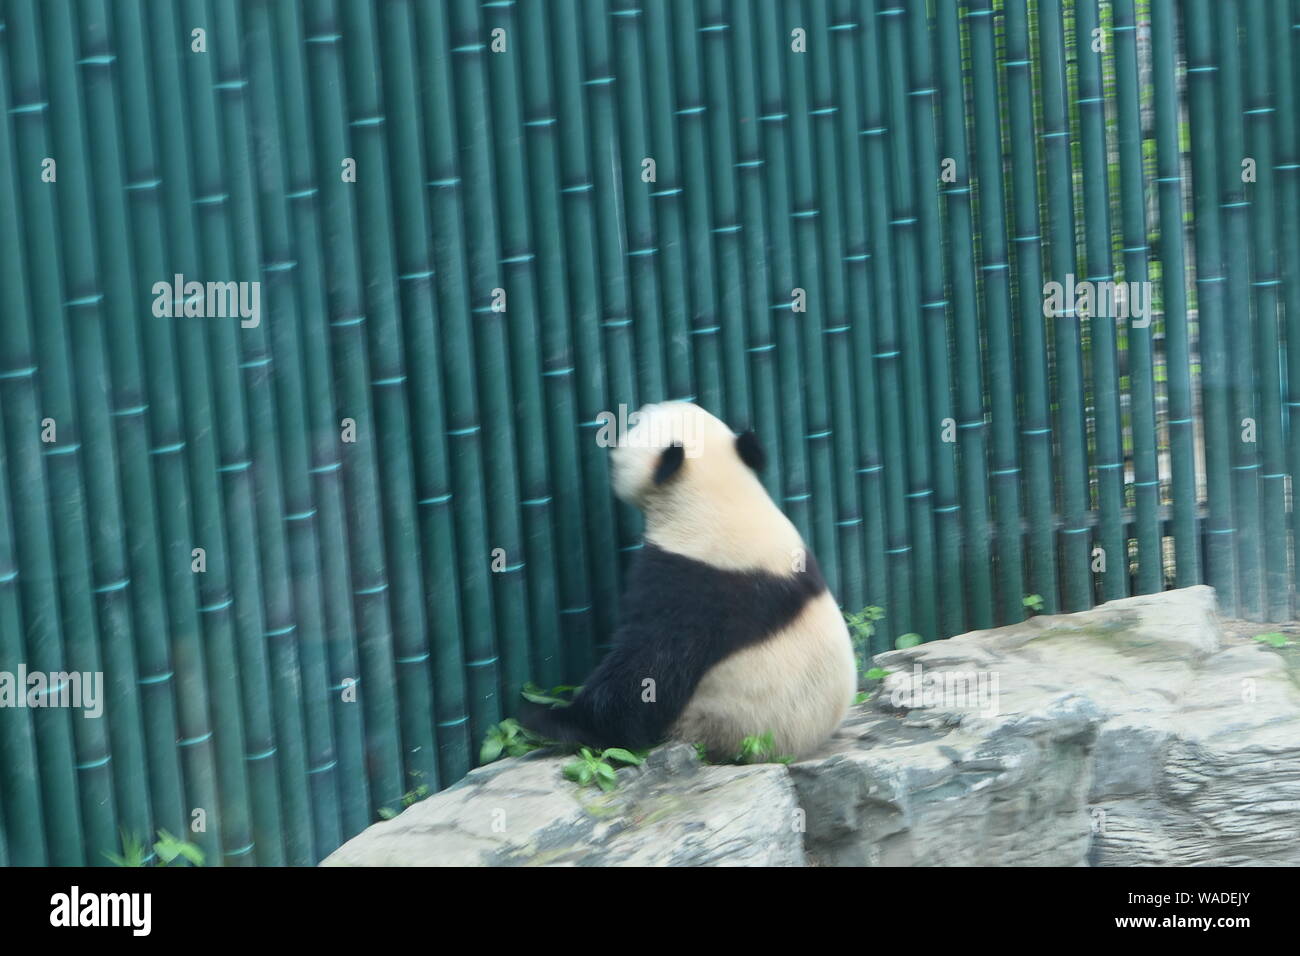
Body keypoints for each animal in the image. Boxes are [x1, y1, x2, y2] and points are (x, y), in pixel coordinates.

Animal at [521, 401, 857, 762]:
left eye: (637, 422)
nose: (642, 407)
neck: (717, 498)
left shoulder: (693, 587)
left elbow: (647, 672)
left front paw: (553, 721)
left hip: (711, 720)